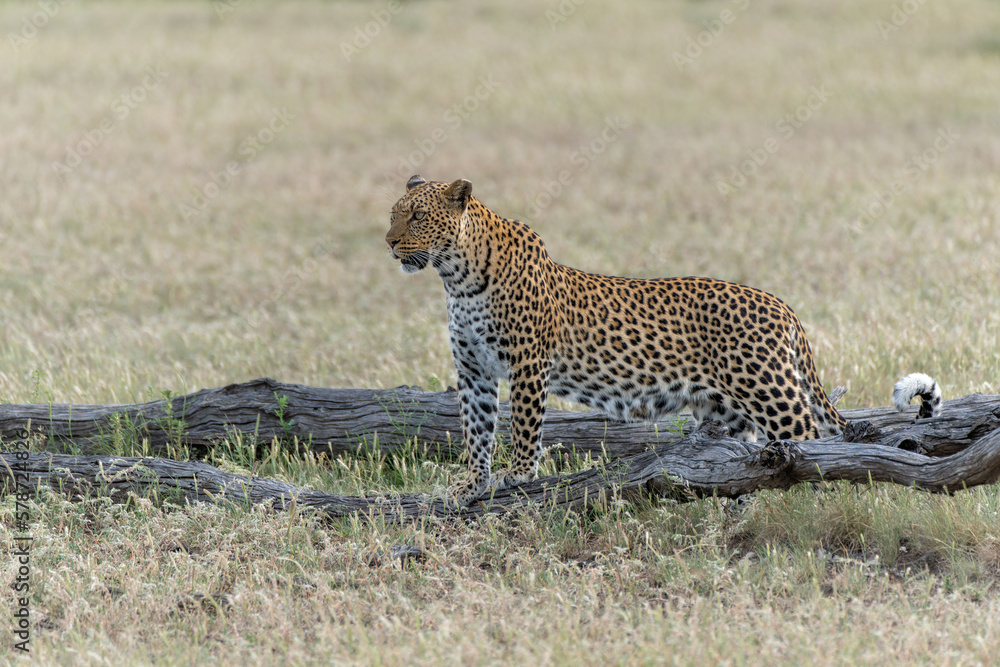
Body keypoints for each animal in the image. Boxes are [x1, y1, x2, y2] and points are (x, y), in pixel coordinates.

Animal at [385, 175, 943, 507]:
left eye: (416, 216)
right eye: (394, 212)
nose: (388, 241)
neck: (457, 277)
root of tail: (782, 306)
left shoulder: (526, 365)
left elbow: (523, 425)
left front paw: (518, 476)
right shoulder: (473, 371)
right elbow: (475, 430)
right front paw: (471, 483)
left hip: (770, 391)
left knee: (811, 442)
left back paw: (812, 501)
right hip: (725, 410)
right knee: (745, 459)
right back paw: (742, 504)